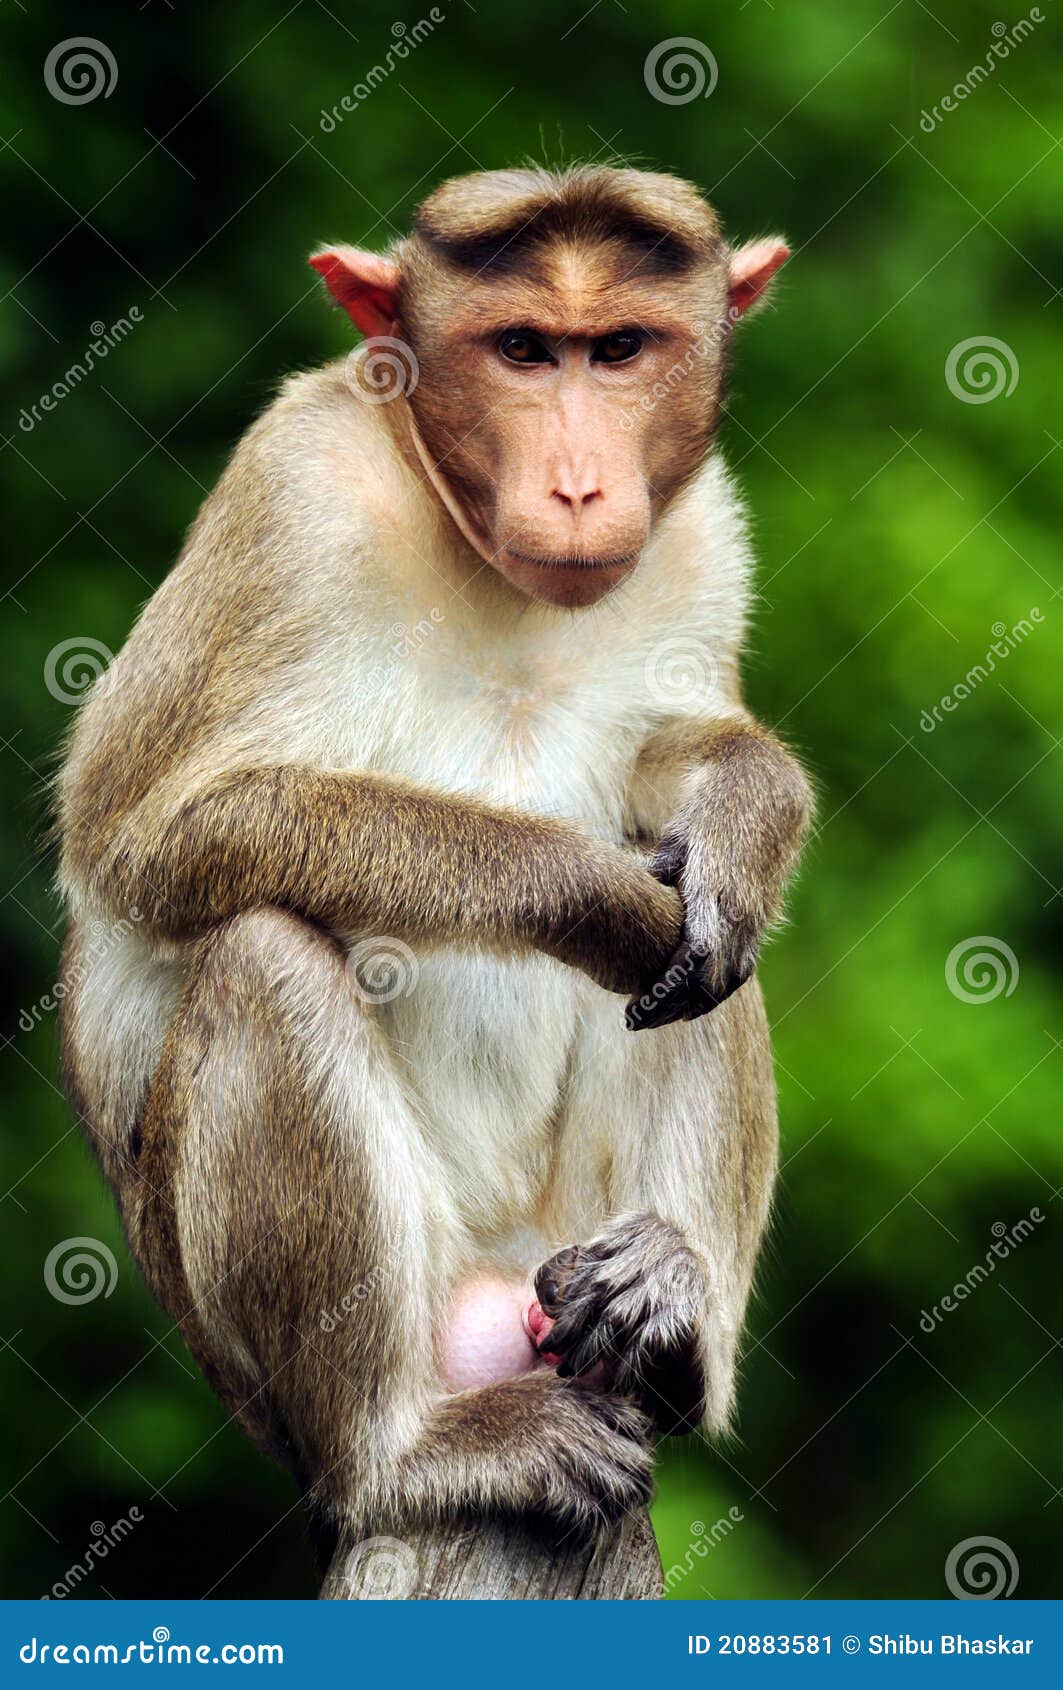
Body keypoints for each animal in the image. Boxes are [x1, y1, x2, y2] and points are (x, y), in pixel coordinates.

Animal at [56, 165, 812, 1547]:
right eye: (520, 350)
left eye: (618, 350)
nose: (579, 486)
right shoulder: (295, 492)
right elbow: (150, 832)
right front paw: (597, 899)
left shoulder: (701, 535)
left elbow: (680, 764)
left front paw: (740, 818)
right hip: (289, 1364)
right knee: (262, 953)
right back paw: (396, 1451)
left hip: (561, 1246)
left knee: (720, 963)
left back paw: (670, 1318)